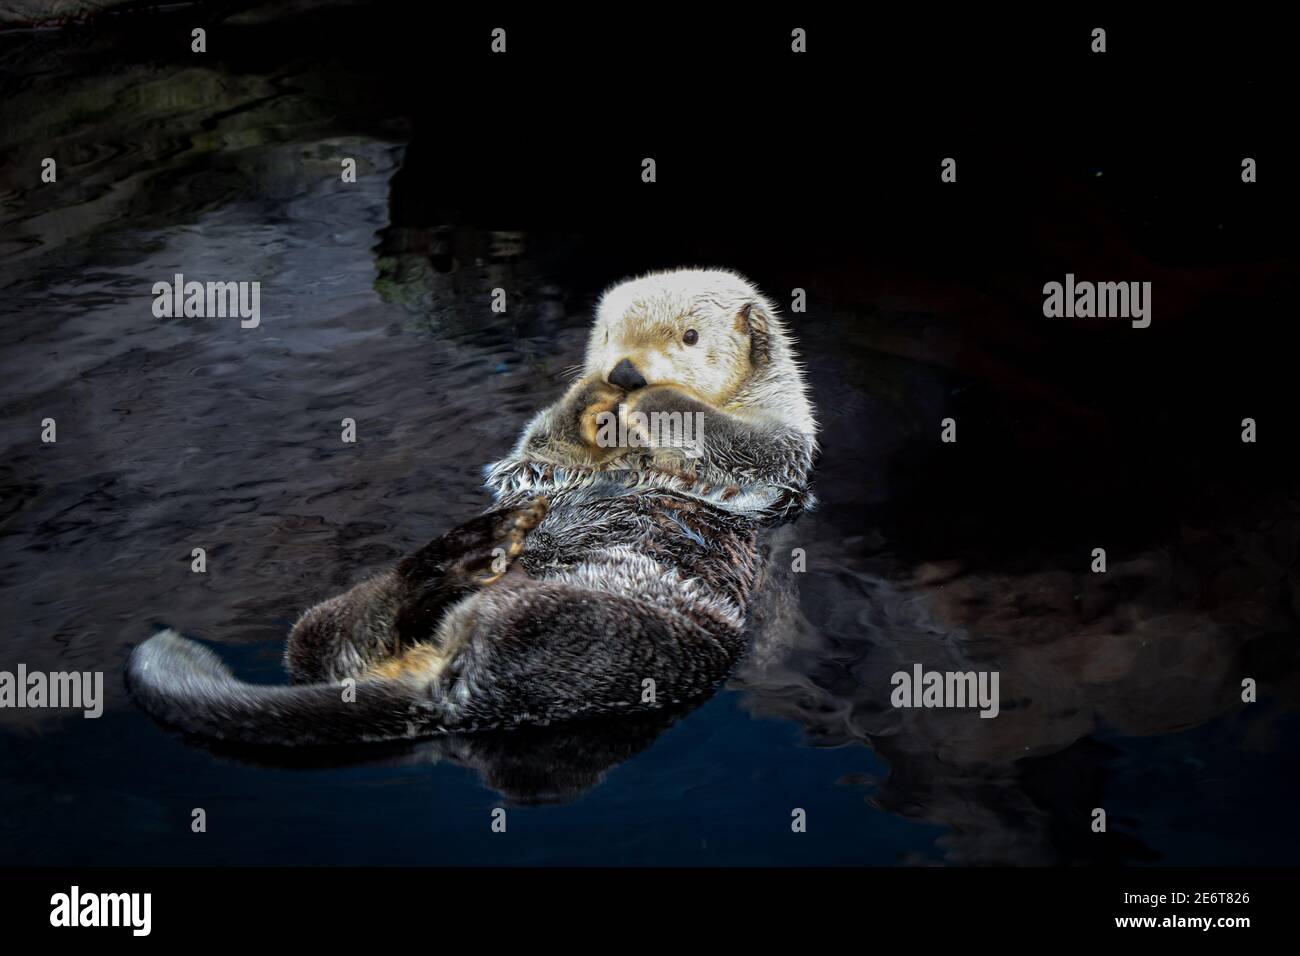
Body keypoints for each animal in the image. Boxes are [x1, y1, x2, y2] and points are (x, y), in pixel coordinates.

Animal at [126, 268, 818, 745]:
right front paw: (588, 398)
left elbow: (754, 448)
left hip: (634, 642)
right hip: (346, 625)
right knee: (322, 638)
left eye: (690, 336)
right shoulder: (538, 466)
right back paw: (472, 548)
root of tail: (437, 687)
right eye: (607, 336)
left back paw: (480, 567)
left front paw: (658, 403)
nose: (623, 373)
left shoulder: (786, 456)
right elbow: (532, 459)